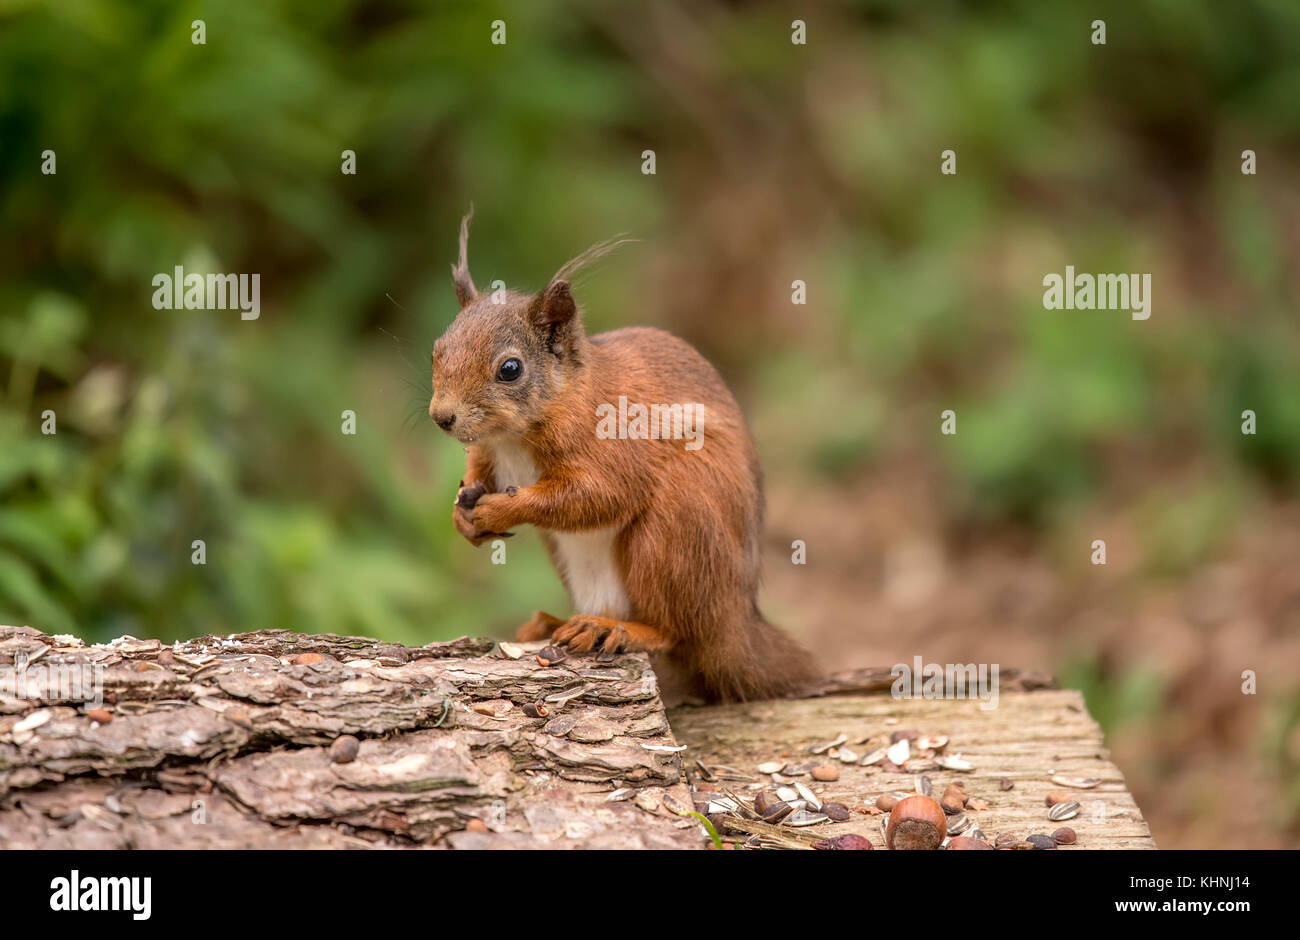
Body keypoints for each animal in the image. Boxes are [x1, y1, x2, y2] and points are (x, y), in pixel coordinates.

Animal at [428, 209, 818, 702]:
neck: (512, 436)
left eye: (510, 369)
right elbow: (478, 471)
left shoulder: (616, 446)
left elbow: (600, 495)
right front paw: (462, 517)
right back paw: (556, 623)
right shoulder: (487, 451)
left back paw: (613, 629)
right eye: (436, 350)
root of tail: (735, 626)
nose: (442, 417)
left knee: (675, 629)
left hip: (676, 531)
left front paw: (500, 509)